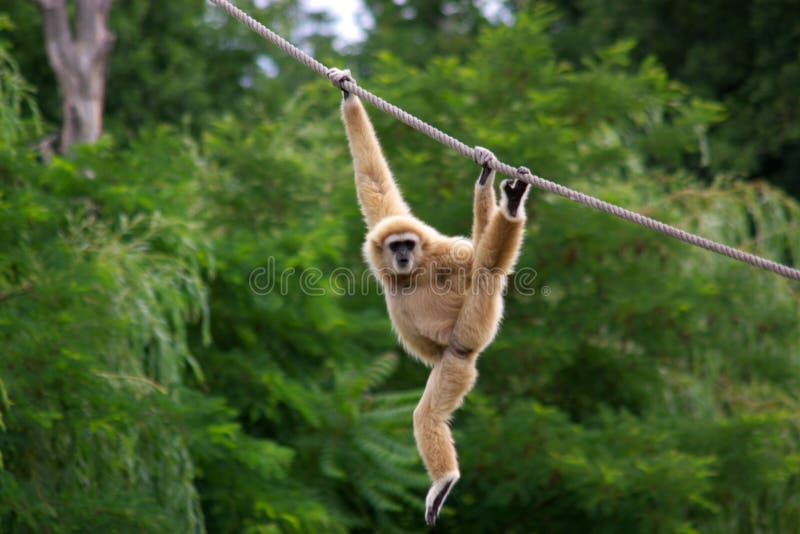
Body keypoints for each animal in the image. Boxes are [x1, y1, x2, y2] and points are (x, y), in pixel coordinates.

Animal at [333, 69, 530, 526]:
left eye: (408, 245)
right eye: (395, 246)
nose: (404, 255)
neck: (410, 273)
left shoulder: (437, 251)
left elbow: (474, 260)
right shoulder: (387, 226)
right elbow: (373, 182)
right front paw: (347, 93)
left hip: (464, 343)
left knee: (487, 271)